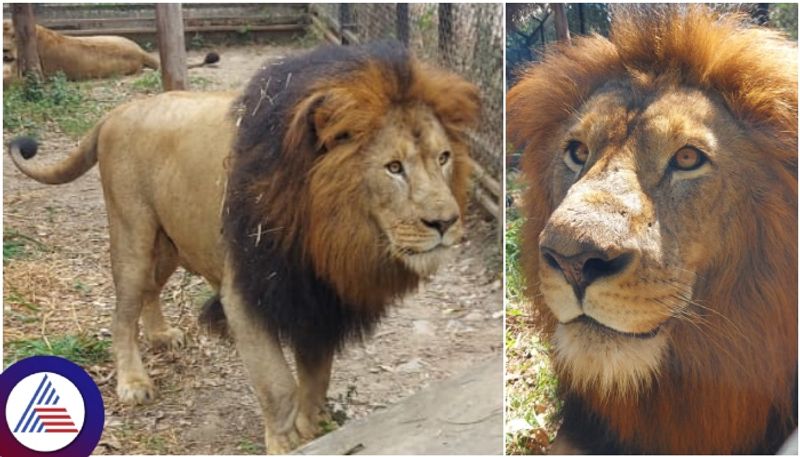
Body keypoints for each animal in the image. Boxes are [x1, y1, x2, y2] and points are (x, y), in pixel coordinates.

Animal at [8, 41, 480, 453]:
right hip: (134, 235)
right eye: (393, 167)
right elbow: (279, 387)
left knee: (150, 291)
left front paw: (316, 430)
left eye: (443, 158)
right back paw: (133, 382)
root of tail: (117, 112)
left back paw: (161, 335)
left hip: (171, 243)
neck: (331, 233)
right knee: (123, 312)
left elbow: (316, 381)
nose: (446, 222)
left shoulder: (315, 300)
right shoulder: (246, 295)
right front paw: (286, 443)